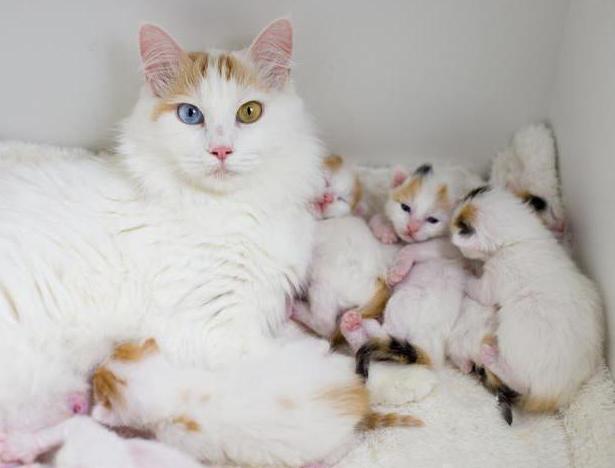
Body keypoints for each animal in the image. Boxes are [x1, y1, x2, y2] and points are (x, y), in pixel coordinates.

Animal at [340, 165, 484, 376]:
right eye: (405, 208)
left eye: (432, 220)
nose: (411, 228)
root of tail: (431, 355)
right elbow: (377, 218)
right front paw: (386, 231)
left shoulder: (454, 247)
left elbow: (417, 248)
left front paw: (398, 270)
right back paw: (350, 326)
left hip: (405, 301)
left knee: (389, 335)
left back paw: (366, 323)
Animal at [450, 186, 604, 424]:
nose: (454, 202)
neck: (522, 237)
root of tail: (557, 393)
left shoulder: (495, 275)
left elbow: (479, 290)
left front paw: (465, 269)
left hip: (512, 335)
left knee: (522, 384)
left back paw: (490, 357)